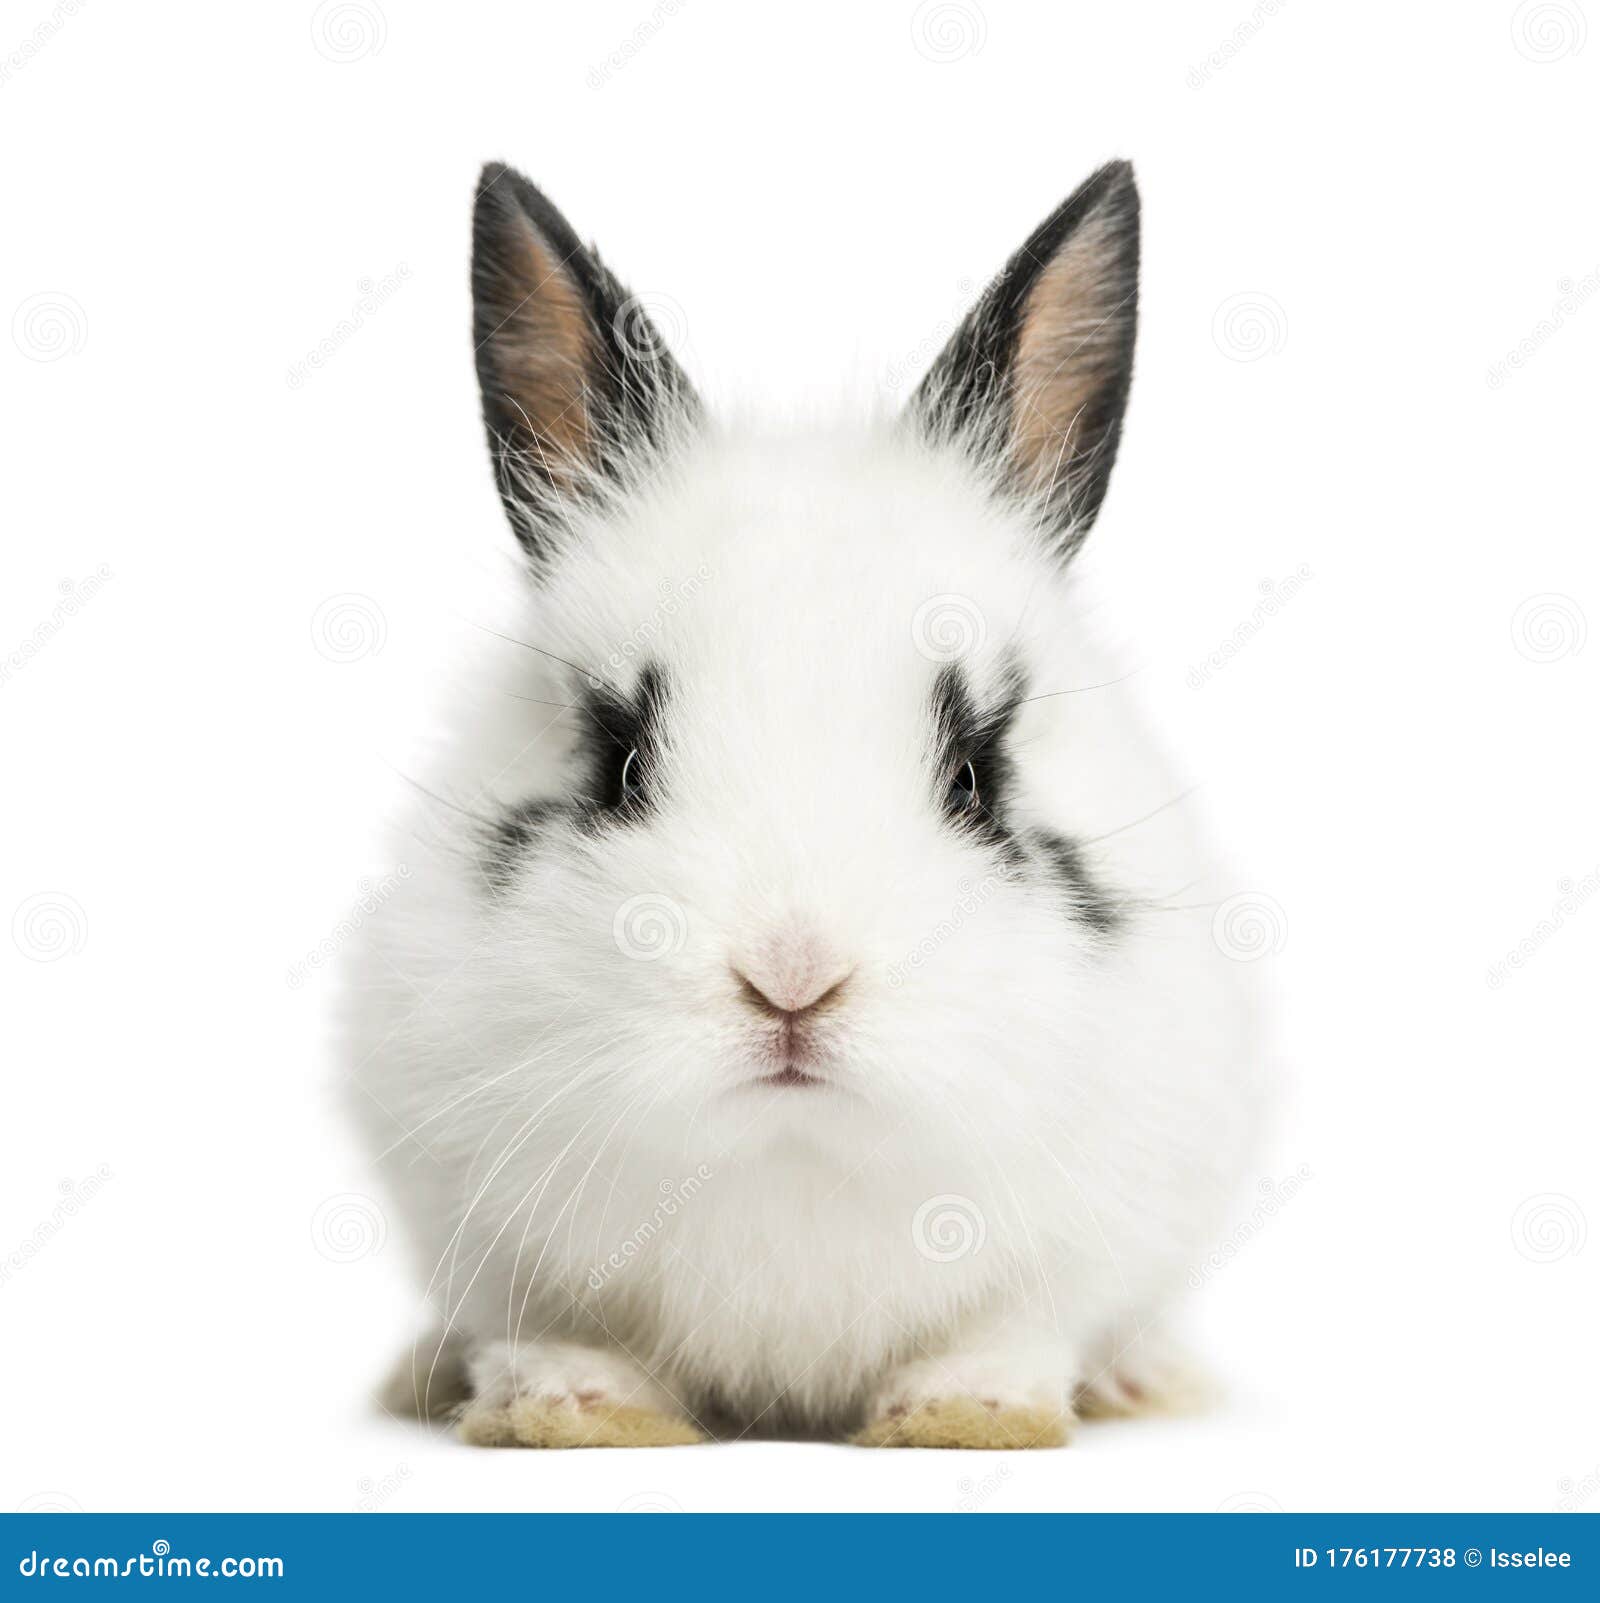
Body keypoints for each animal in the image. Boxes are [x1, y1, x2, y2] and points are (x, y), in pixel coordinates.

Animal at [344, 158, 1268, 1450]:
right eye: (618, 758)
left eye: (976, 772)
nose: (792, 978)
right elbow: (546, 1323)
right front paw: (570, 1402)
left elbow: (1018, 1323)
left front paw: (969, 1410)